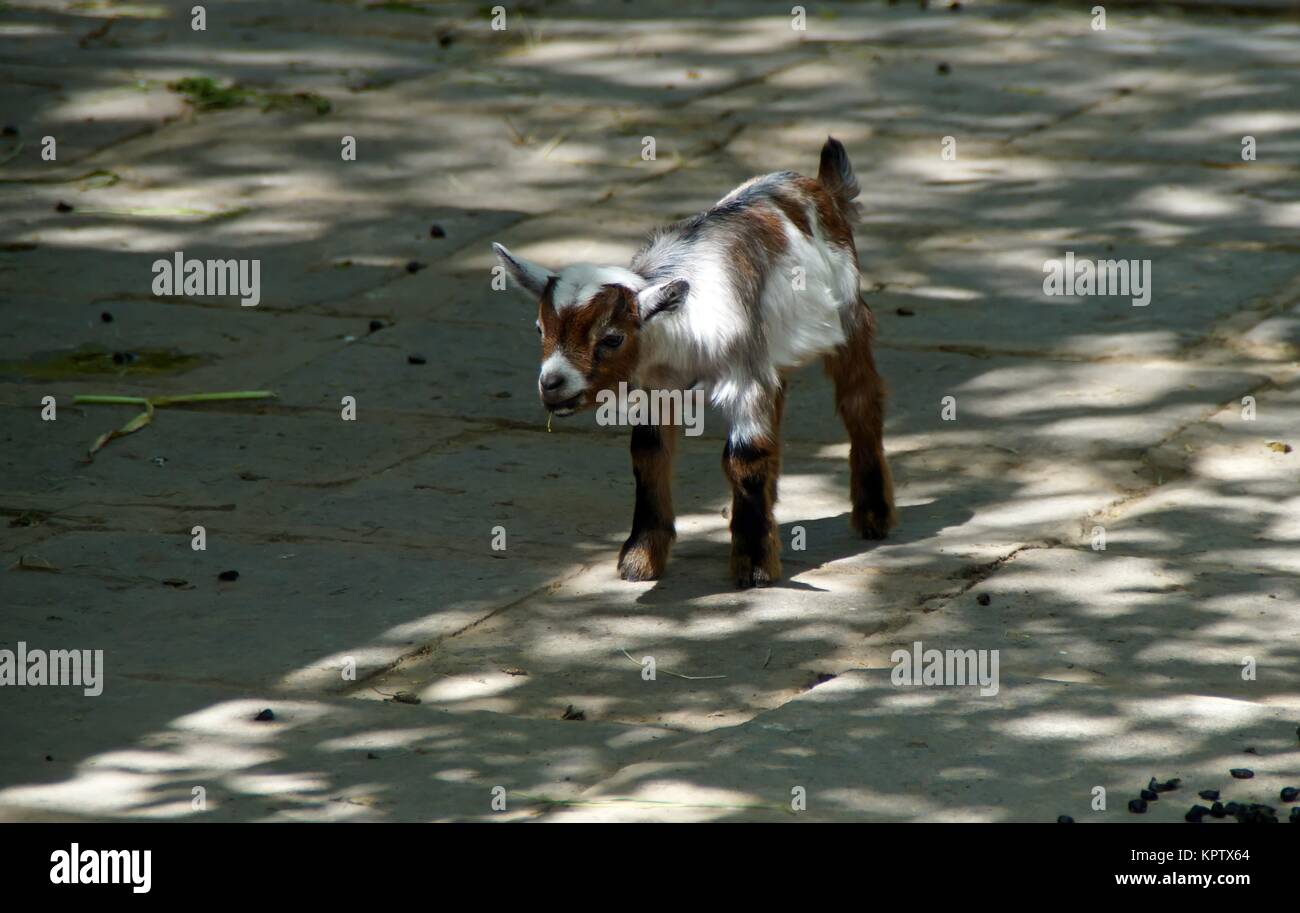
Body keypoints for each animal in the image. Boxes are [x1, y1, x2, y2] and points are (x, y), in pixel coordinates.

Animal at [492, 137, 895, 588]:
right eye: (539, 329)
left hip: (849, 315)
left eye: (612, 338)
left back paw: (873, 516)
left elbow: (744, 456)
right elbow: (648, 453)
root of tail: (819, 186)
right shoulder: (656, 390)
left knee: (860, 400)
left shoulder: (743, 380)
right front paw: (641, 558)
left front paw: (754, 566)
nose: (552, 384)